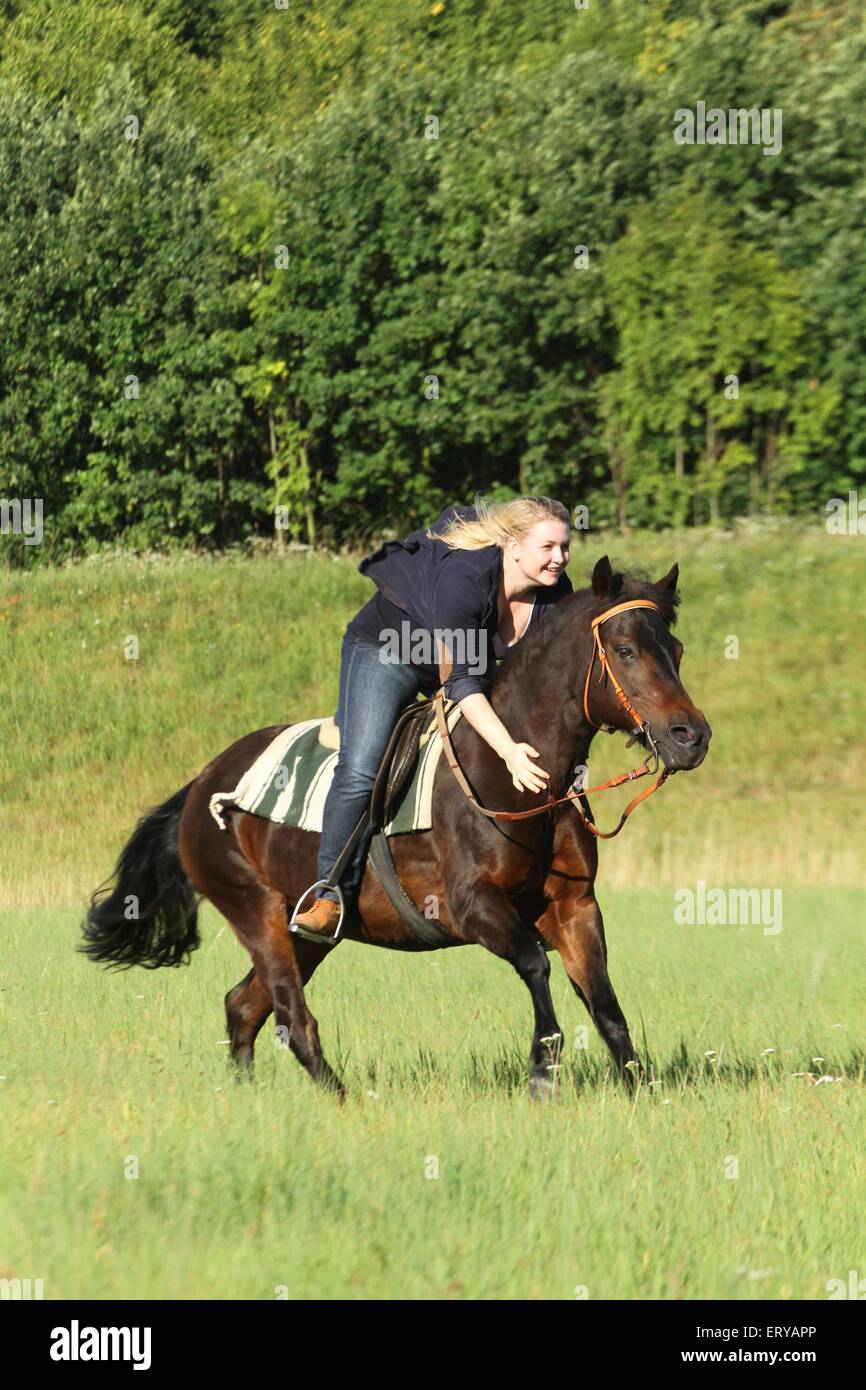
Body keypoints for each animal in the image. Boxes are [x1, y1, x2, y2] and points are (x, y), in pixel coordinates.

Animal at [80, 554, 711, 1100]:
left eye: (676, 649)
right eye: (625, 650)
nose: (691, 737)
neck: (518, 774)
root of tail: (200, 784)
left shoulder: (574, 907)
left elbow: (606, 1007)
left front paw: (643, 1092)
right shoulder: (473, 905)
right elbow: (536, 965)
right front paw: (542, 1074)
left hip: (303, 931)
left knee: (244, 1006)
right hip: (252, 911)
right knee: (291, 1015)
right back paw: (343, 1102)